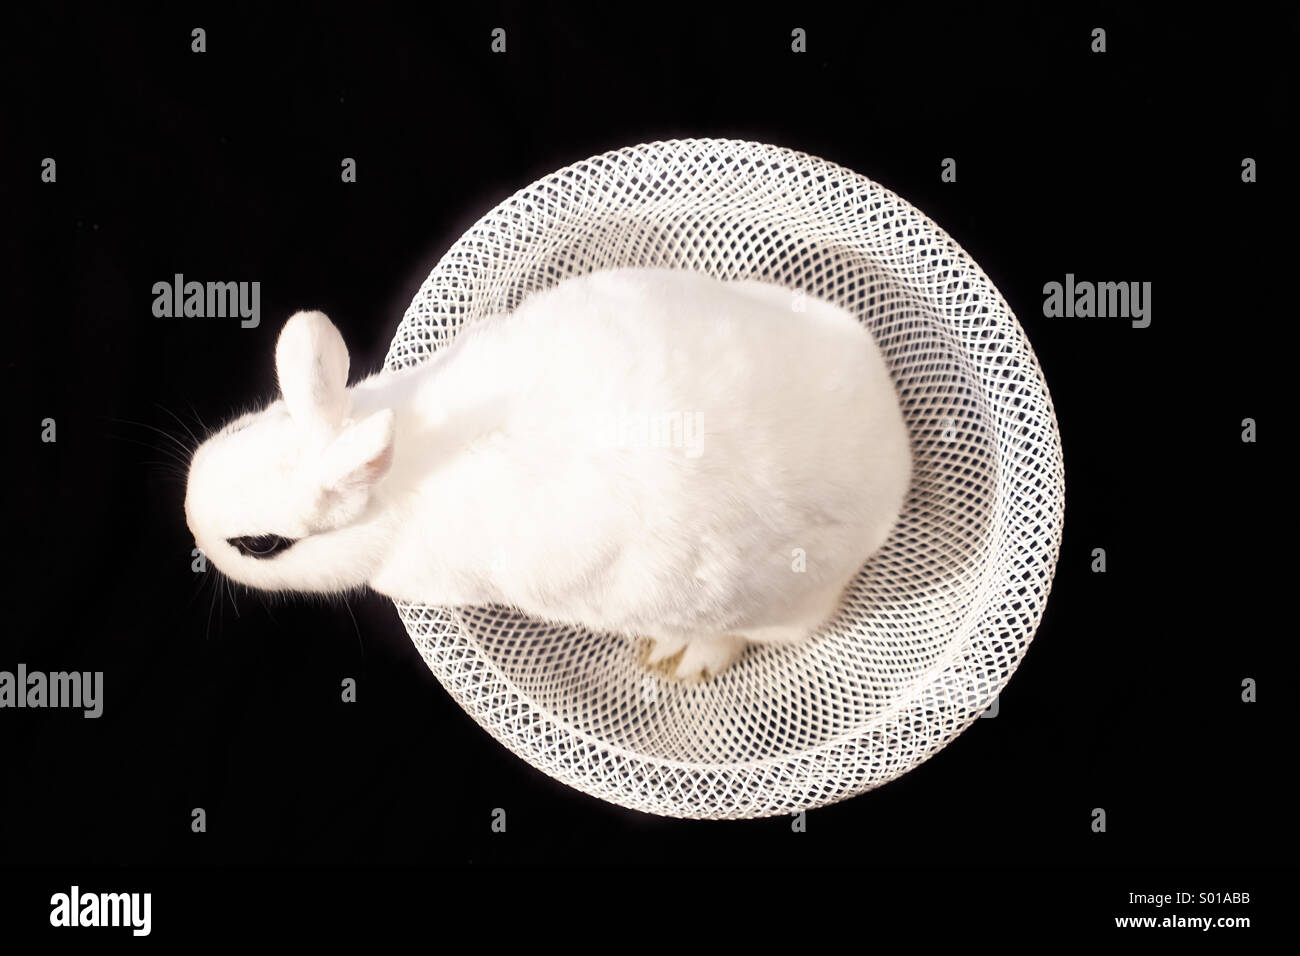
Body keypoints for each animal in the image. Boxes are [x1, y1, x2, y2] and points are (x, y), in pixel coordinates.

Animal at [184, 266, 913, 682]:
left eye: (261, 546)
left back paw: (683, 658)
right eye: (242, 429)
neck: (412, 457)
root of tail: (894, 464)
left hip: (762, 599)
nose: (190, 522)